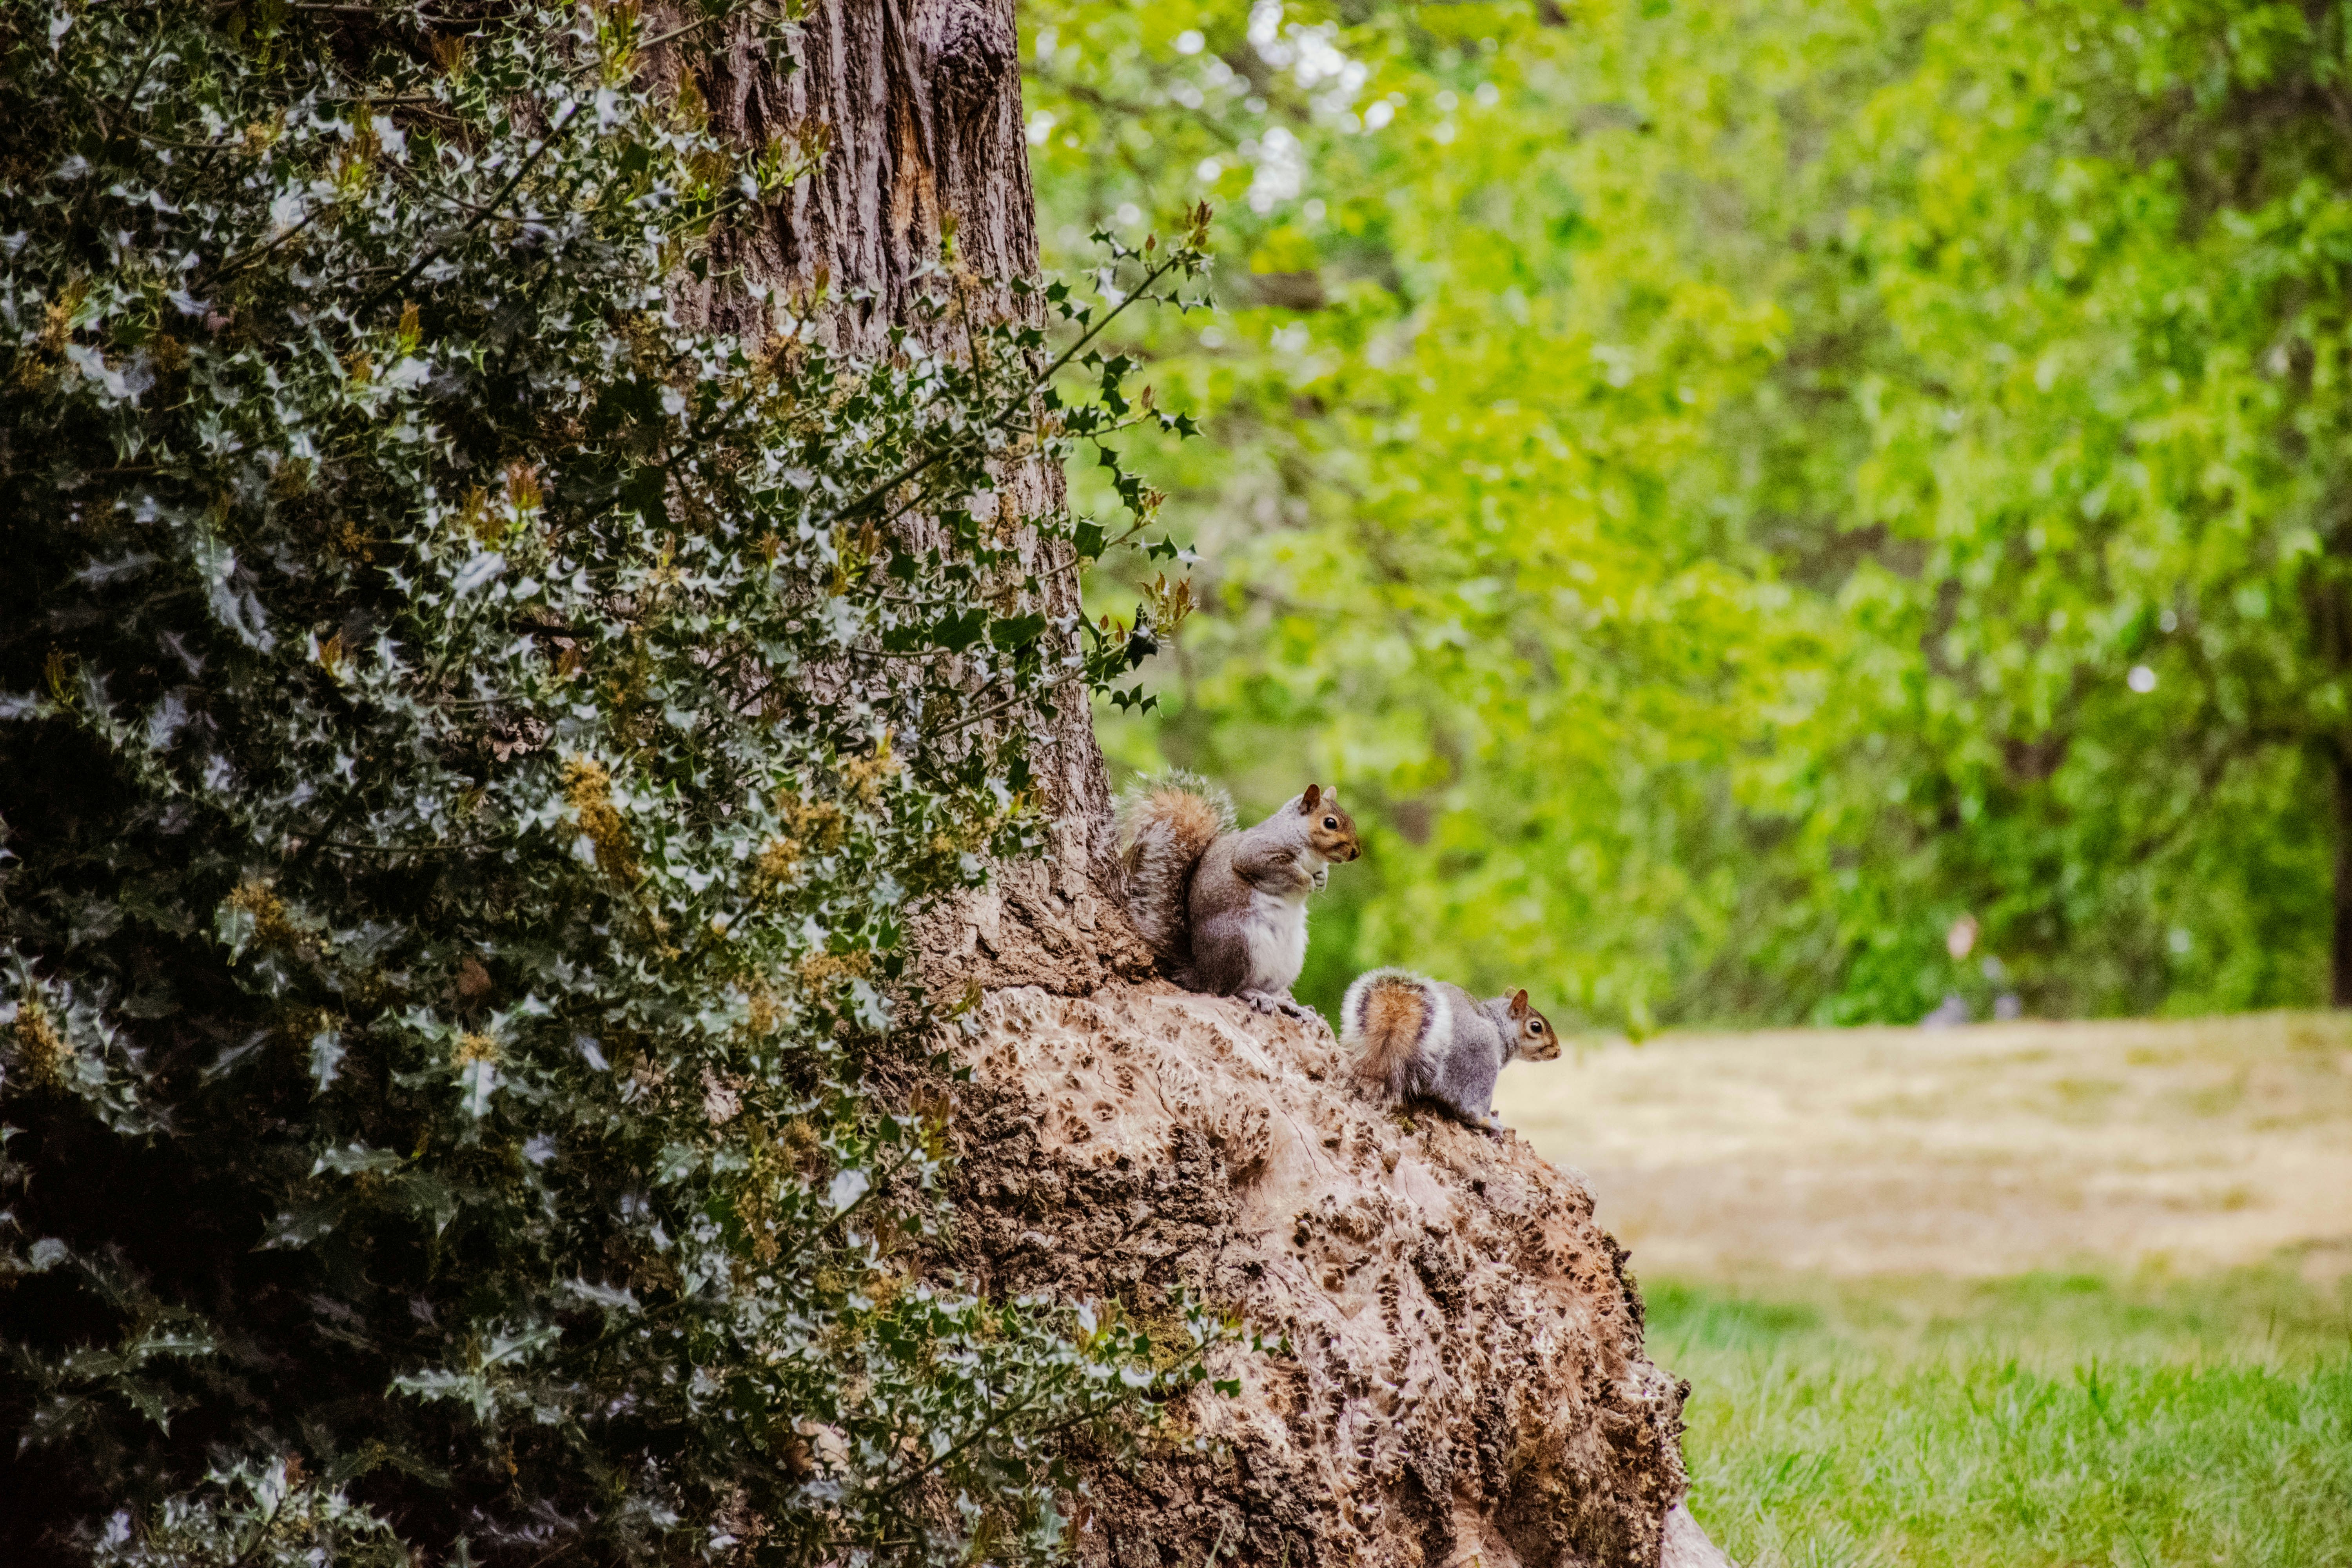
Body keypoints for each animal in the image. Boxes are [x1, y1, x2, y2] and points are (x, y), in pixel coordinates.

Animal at [1116, 772, 1362, 1021]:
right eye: (1330, 823)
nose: (1356, 853)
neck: (1313, 854)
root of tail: (1202, 973)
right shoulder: (1257, 854)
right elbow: (1280, 869)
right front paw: (1308, 882)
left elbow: (1321, 874)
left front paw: (1322, 881)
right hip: (1239, 943)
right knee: (1227, 989)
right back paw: (1254, 995)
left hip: (1288, 959)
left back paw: (1287, 1004)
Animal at [1341, 968, 1558, 1135]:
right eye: (1536, 1027)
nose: (1558, 1053)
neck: (1497, 1022)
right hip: (1482, 1063)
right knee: (1468, 1110)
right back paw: (1488, 1122)